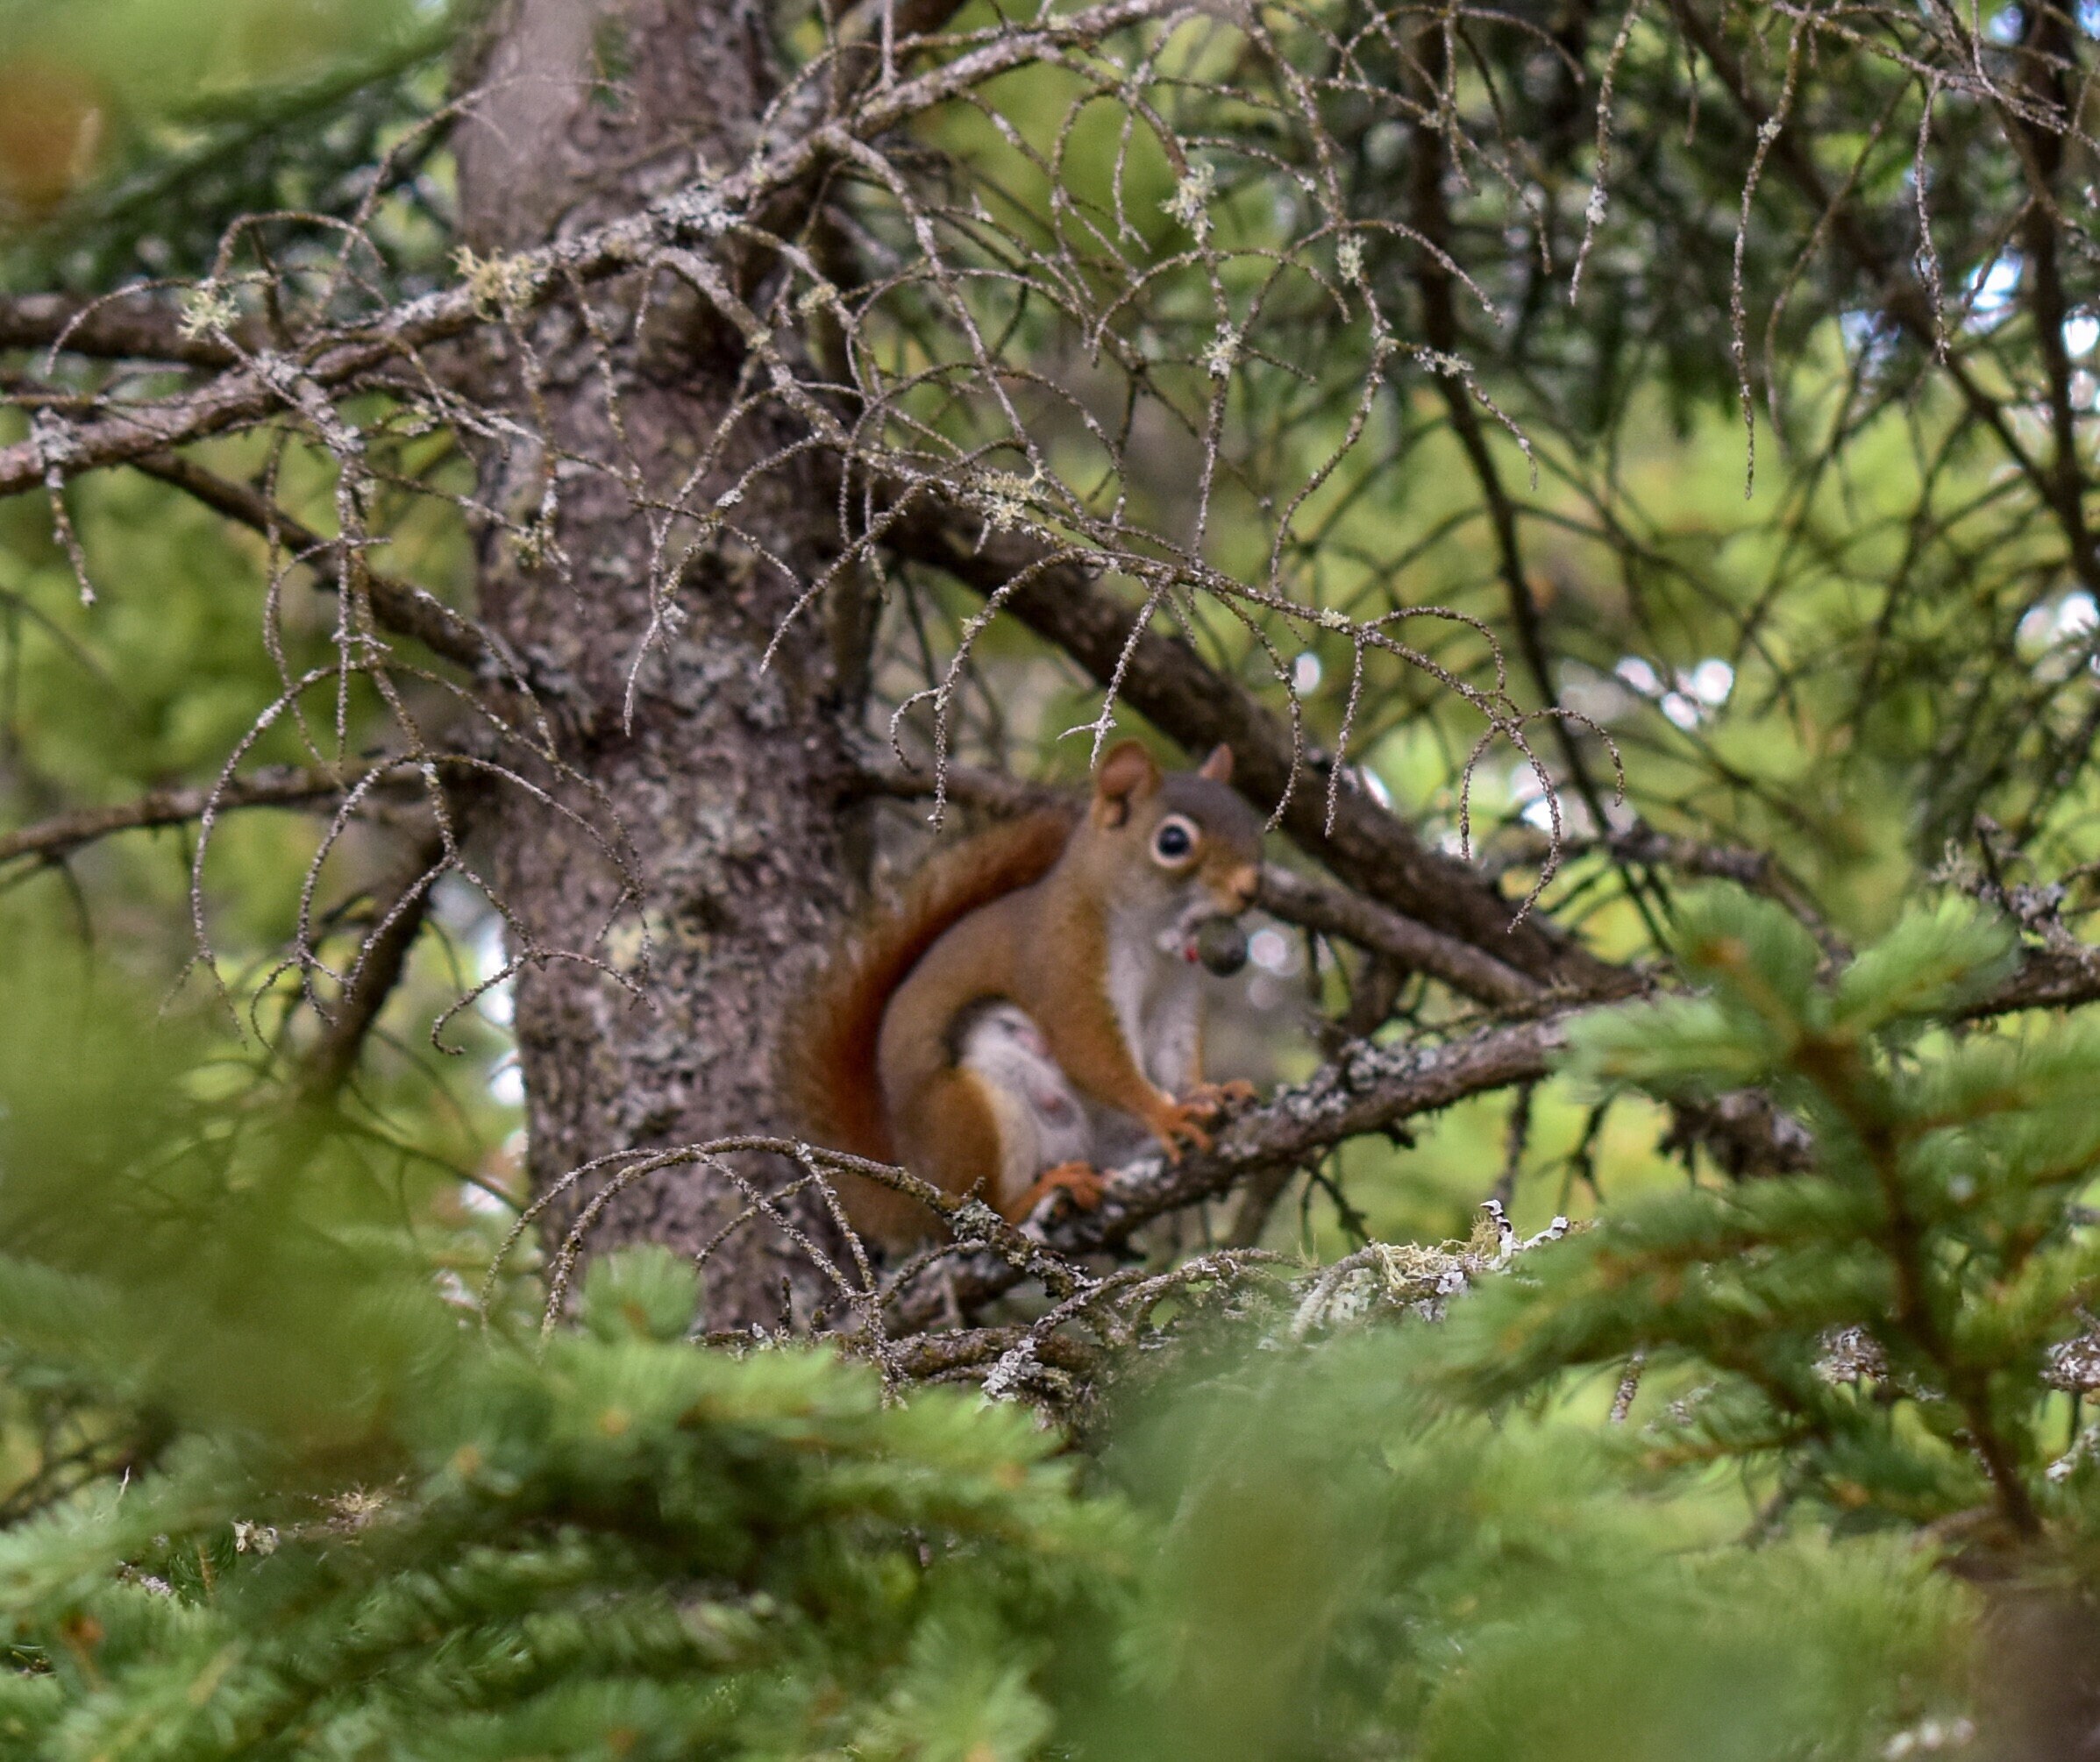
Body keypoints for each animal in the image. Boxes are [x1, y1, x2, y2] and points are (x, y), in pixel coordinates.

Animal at [782, 740, 1265, 1247]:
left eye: (1253, 826)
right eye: (1173, 842)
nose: (1249, 888)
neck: (1155, 939)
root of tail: (917, 1178)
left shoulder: (1177, 995)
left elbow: (1176, 1057)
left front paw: (1208, 1093)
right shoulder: (1065, 966)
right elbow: (1090, 1051)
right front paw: (1167, 1114)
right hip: (977, 1108)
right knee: (992, 1205)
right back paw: (1045, 1190)